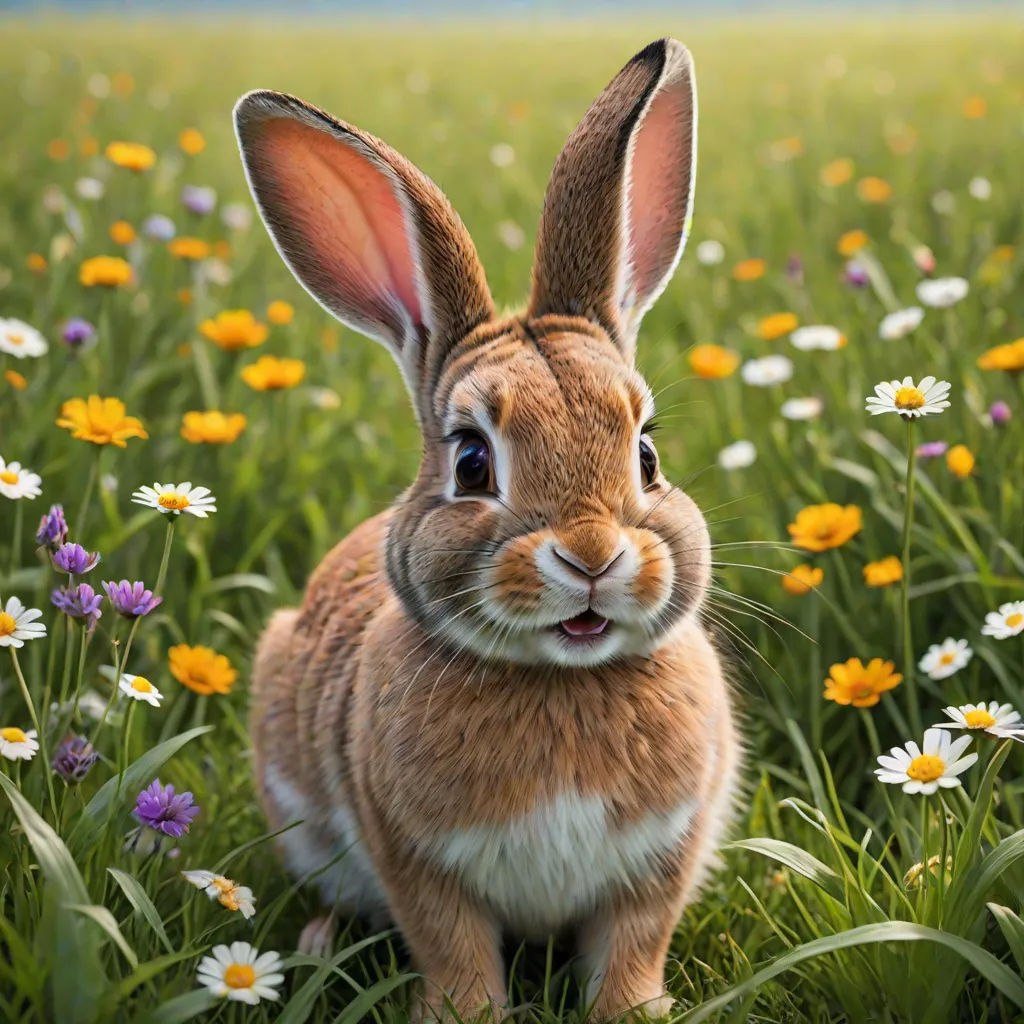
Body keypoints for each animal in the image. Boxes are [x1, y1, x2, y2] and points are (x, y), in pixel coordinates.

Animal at [236, 36, 739, 1023]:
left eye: (647, 454)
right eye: (472, 462)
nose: (592, 556)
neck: (559, 677)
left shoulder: (662, 858)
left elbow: (633, 946)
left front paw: (633, 1011)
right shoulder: (416, 861)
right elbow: (453, 947)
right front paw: (465, 1014)